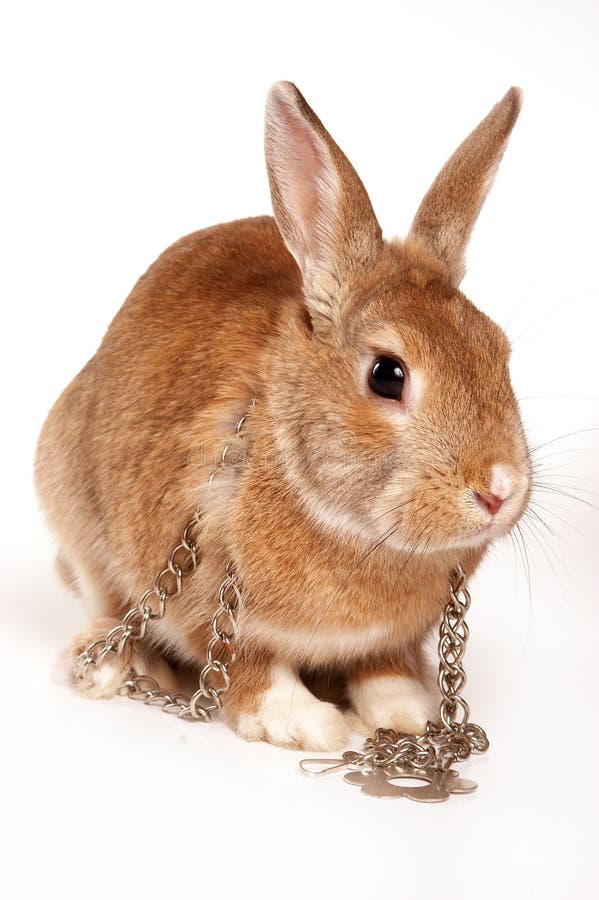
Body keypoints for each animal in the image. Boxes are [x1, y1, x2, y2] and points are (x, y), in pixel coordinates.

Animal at [35, 81, 530, 751]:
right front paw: (312, 726)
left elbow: (386, 669)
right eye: (388, 374)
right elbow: (255, 671)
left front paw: (407, 714)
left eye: (499, 352)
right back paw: (124, 665)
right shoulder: (217, 612)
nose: (499, 488)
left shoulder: (389, 641)